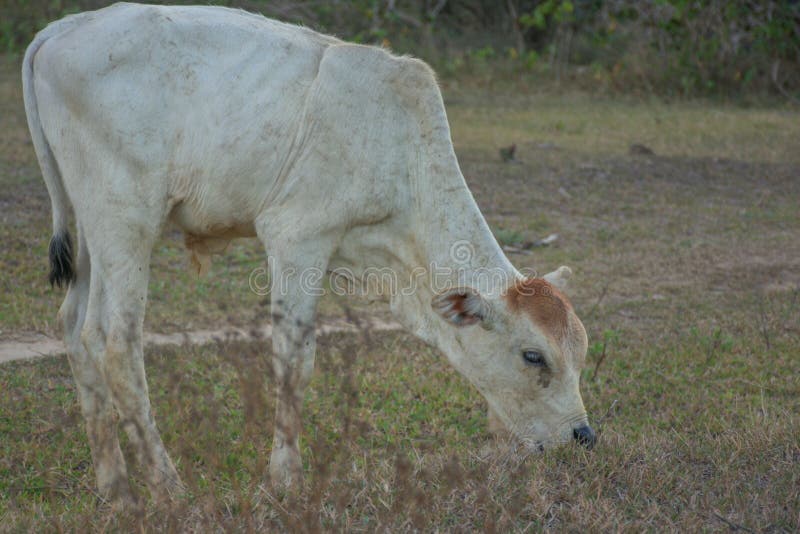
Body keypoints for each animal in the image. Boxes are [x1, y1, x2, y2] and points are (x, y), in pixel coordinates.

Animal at [23, 3, 595, 506]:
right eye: (533, 355)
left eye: (581, 352)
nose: (583, 436)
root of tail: (64, 27)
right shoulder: (297, 238)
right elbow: (294, 361)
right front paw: (285, 481)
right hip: (125, 221)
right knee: (115, 342)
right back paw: (166, 487)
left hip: (90, 232)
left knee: (74, 326)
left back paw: (115, 486)